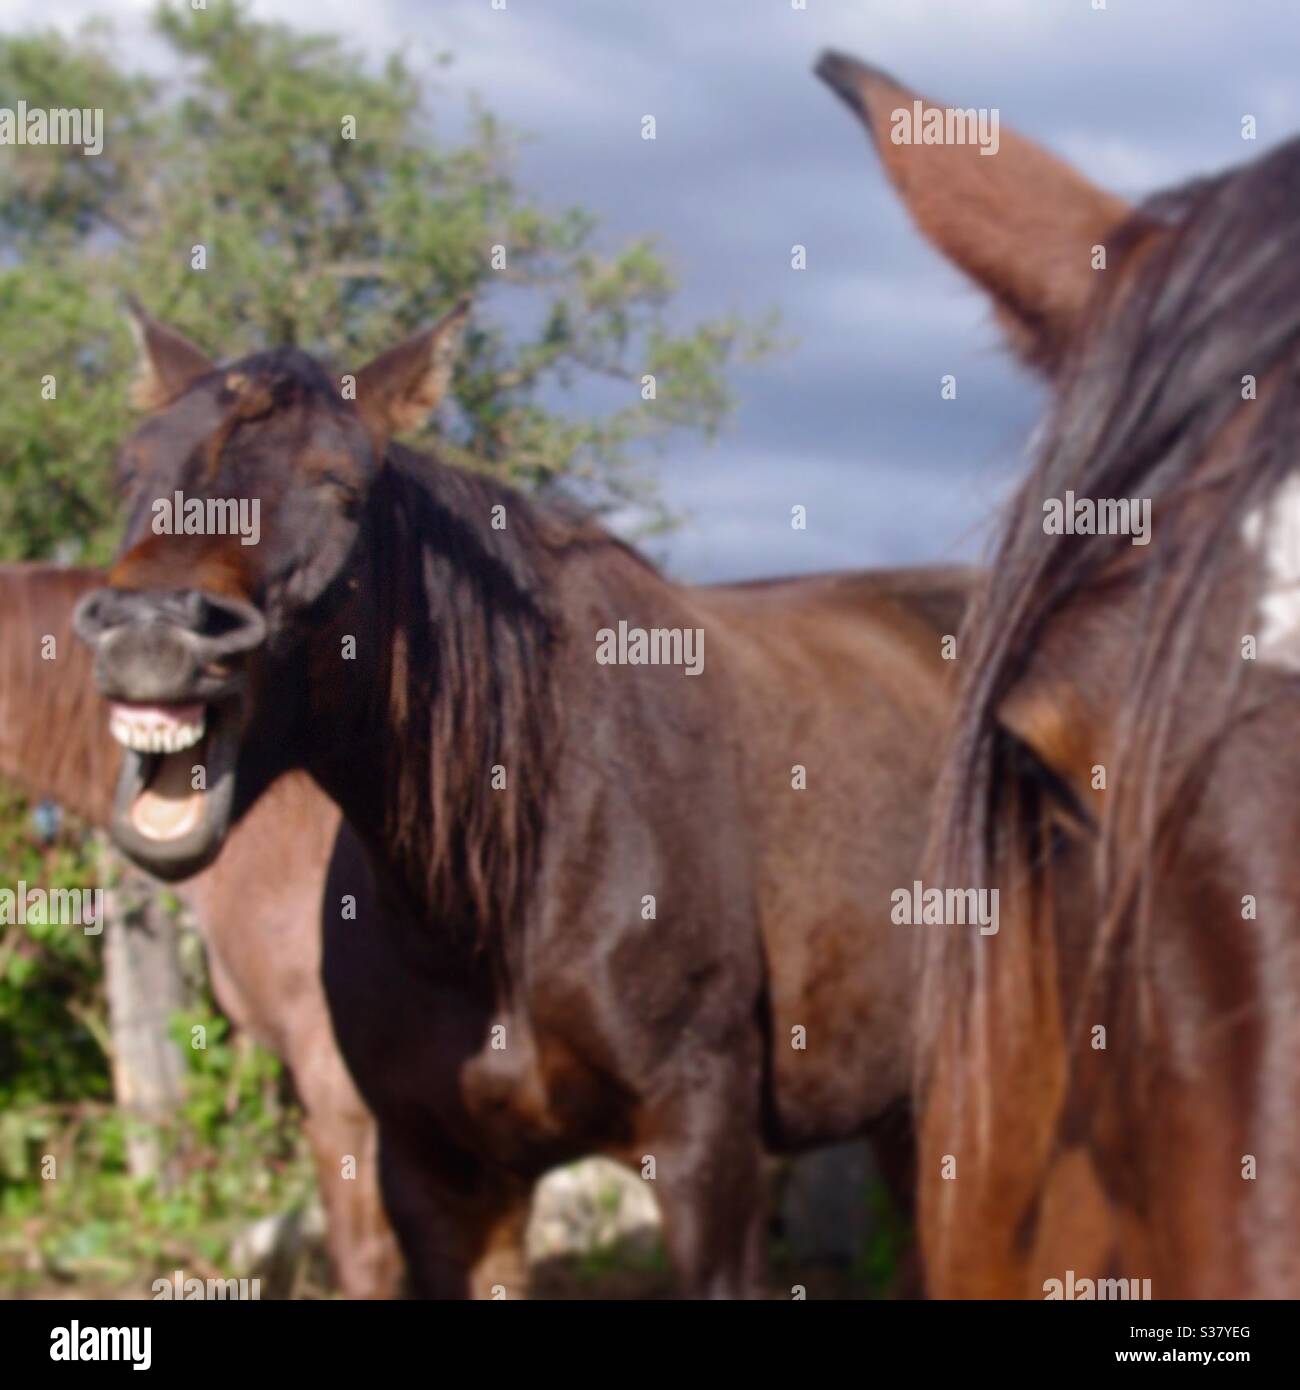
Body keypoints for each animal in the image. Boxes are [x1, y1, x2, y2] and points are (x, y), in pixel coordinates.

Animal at [69, 299, 972, 1297]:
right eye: (131, 468)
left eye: (340, 487)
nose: (153, 634)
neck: (505, 892)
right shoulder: (441, 1177)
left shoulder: (706, 1154)